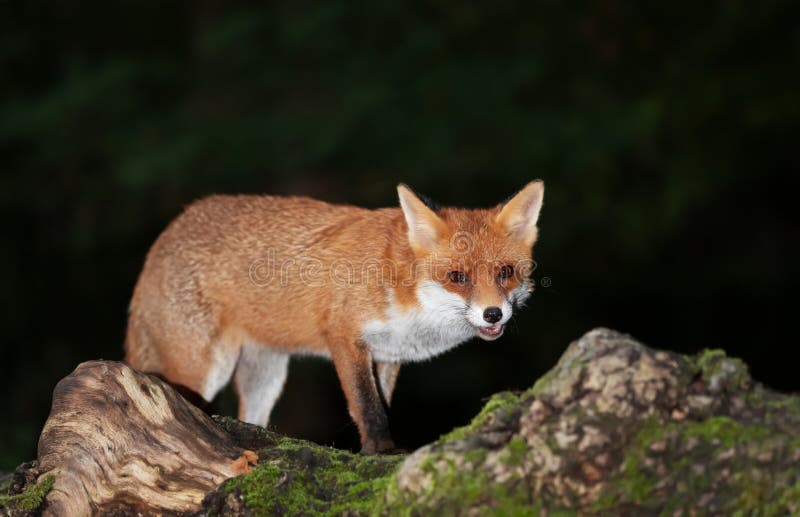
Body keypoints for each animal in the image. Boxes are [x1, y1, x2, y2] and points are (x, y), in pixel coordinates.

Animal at [124, 181, 544, 453]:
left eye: (505, 272)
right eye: (457, 277)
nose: (493, 313)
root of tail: (167, 234)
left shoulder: (388, 355)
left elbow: (384, 404)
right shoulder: (345, 336)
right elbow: (367, 406)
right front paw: (382, 452)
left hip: (266, 376)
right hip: (204, 368)